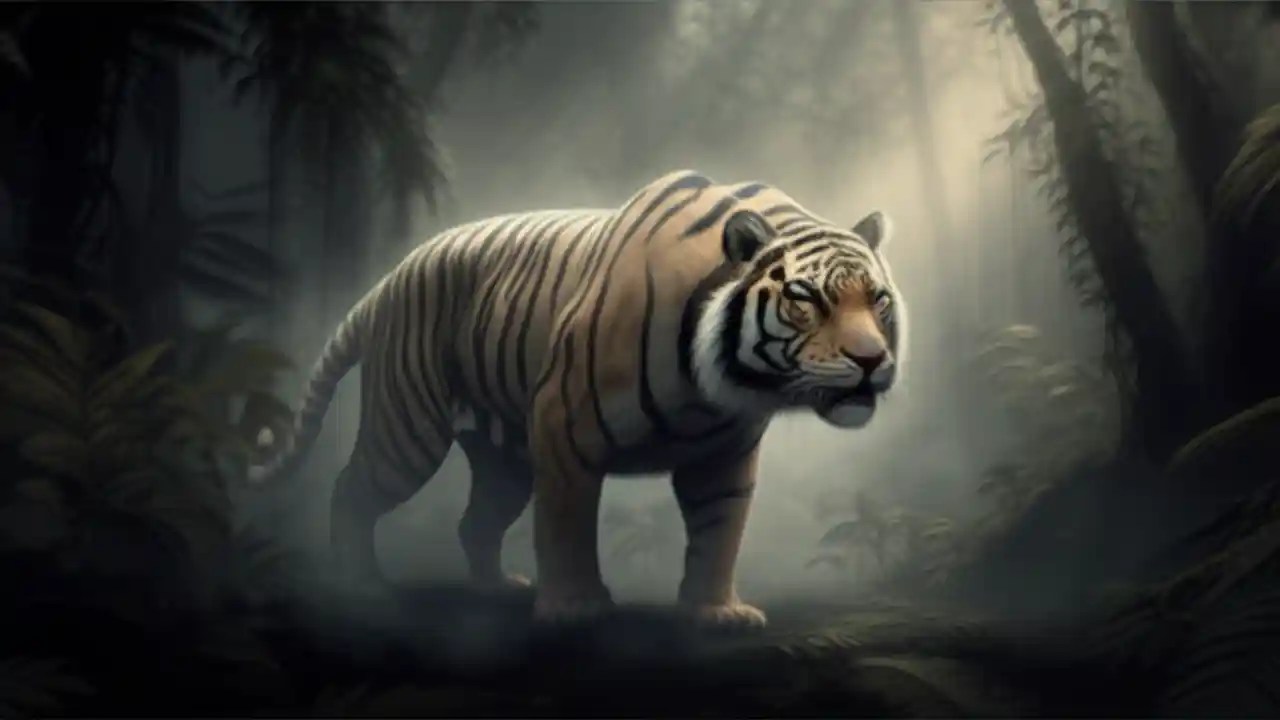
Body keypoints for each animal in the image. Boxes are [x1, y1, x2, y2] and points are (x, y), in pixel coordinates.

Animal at [249, 170, 907, 630]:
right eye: (807, 299)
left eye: (876, 299)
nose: (871, 360)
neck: (714, 390)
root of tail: (391, 276)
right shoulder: (562, 426)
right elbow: (565, 528)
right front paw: (576, 607)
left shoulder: (724, 455)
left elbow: (719, 533)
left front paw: (715, 612)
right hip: (407, 431)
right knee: (352, 491)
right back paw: (359, 586)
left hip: (505, 460)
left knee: (474, 521)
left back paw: (495, 589)